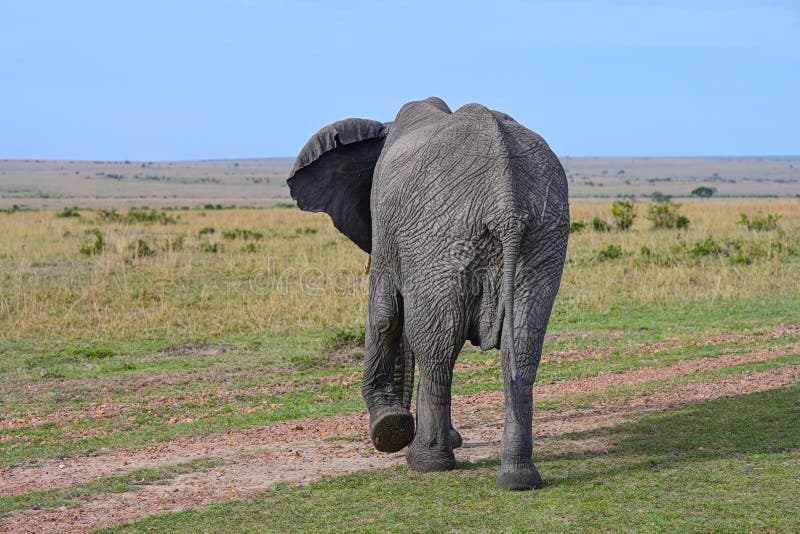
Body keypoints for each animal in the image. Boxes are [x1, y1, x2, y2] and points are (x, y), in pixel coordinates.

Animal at [287, 97, 569, 490]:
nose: (400, 418)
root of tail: (506, 204)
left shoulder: (387, 225)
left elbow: (385, 313)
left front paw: (389, 428)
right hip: (541, 236)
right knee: (520, 350)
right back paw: (518, 479)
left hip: (443, 236)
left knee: (436, 349)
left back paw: (425, 462)